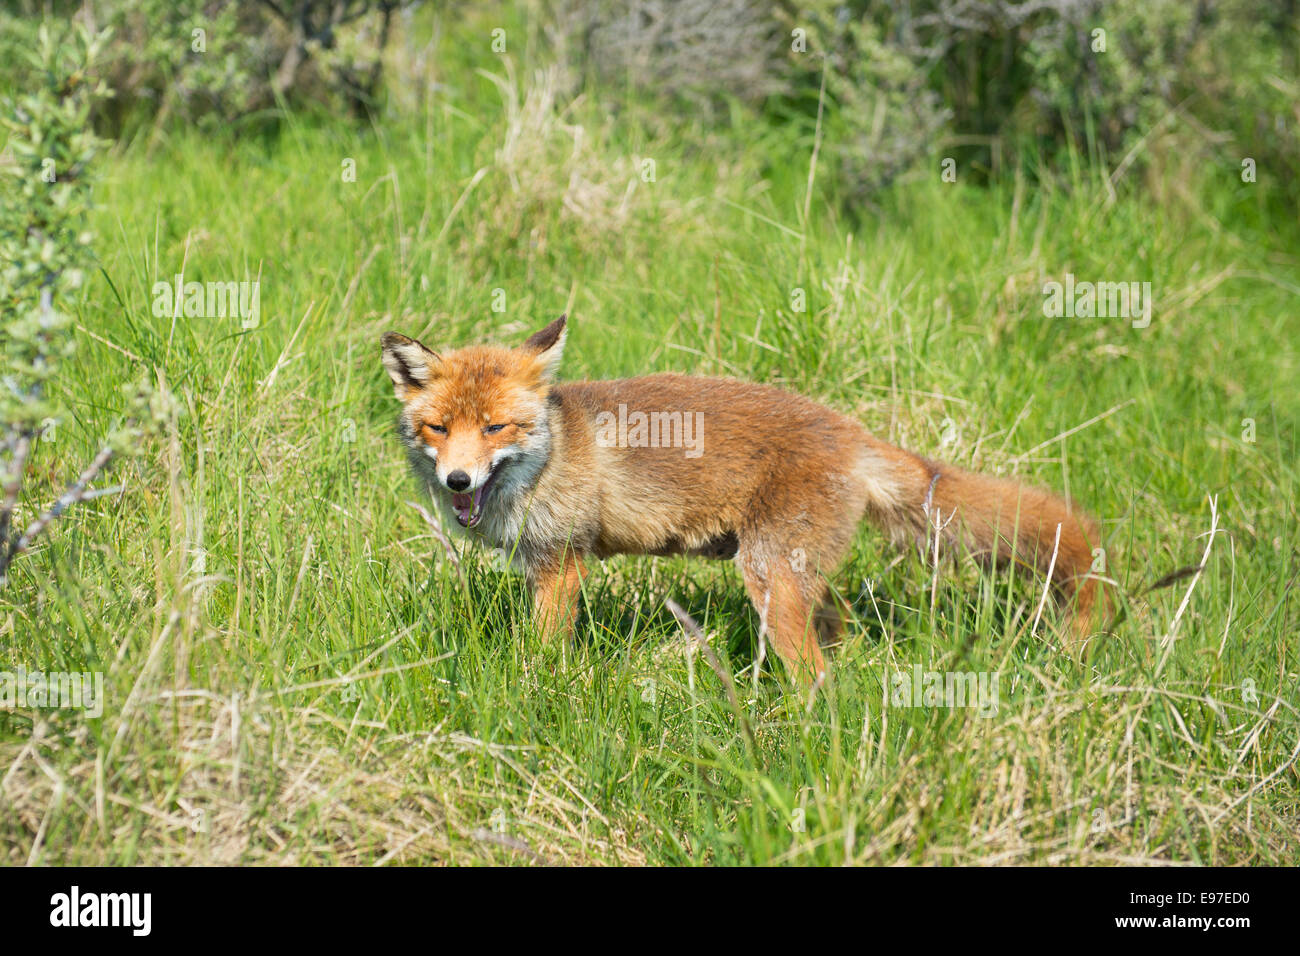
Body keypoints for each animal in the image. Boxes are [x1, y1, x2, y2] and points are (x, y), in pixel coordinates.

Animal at [381, 315, 1107, 682]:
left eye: (495, 428)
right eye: (439, 428)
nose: (457, 482)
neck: (553, 456)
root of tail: (850, 429)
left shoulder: (563, 565)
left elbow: (542, 652)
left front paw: (537, 690)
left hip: (770, 580)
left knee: (818, 678)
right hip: (796, 576)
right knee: (841, 632)